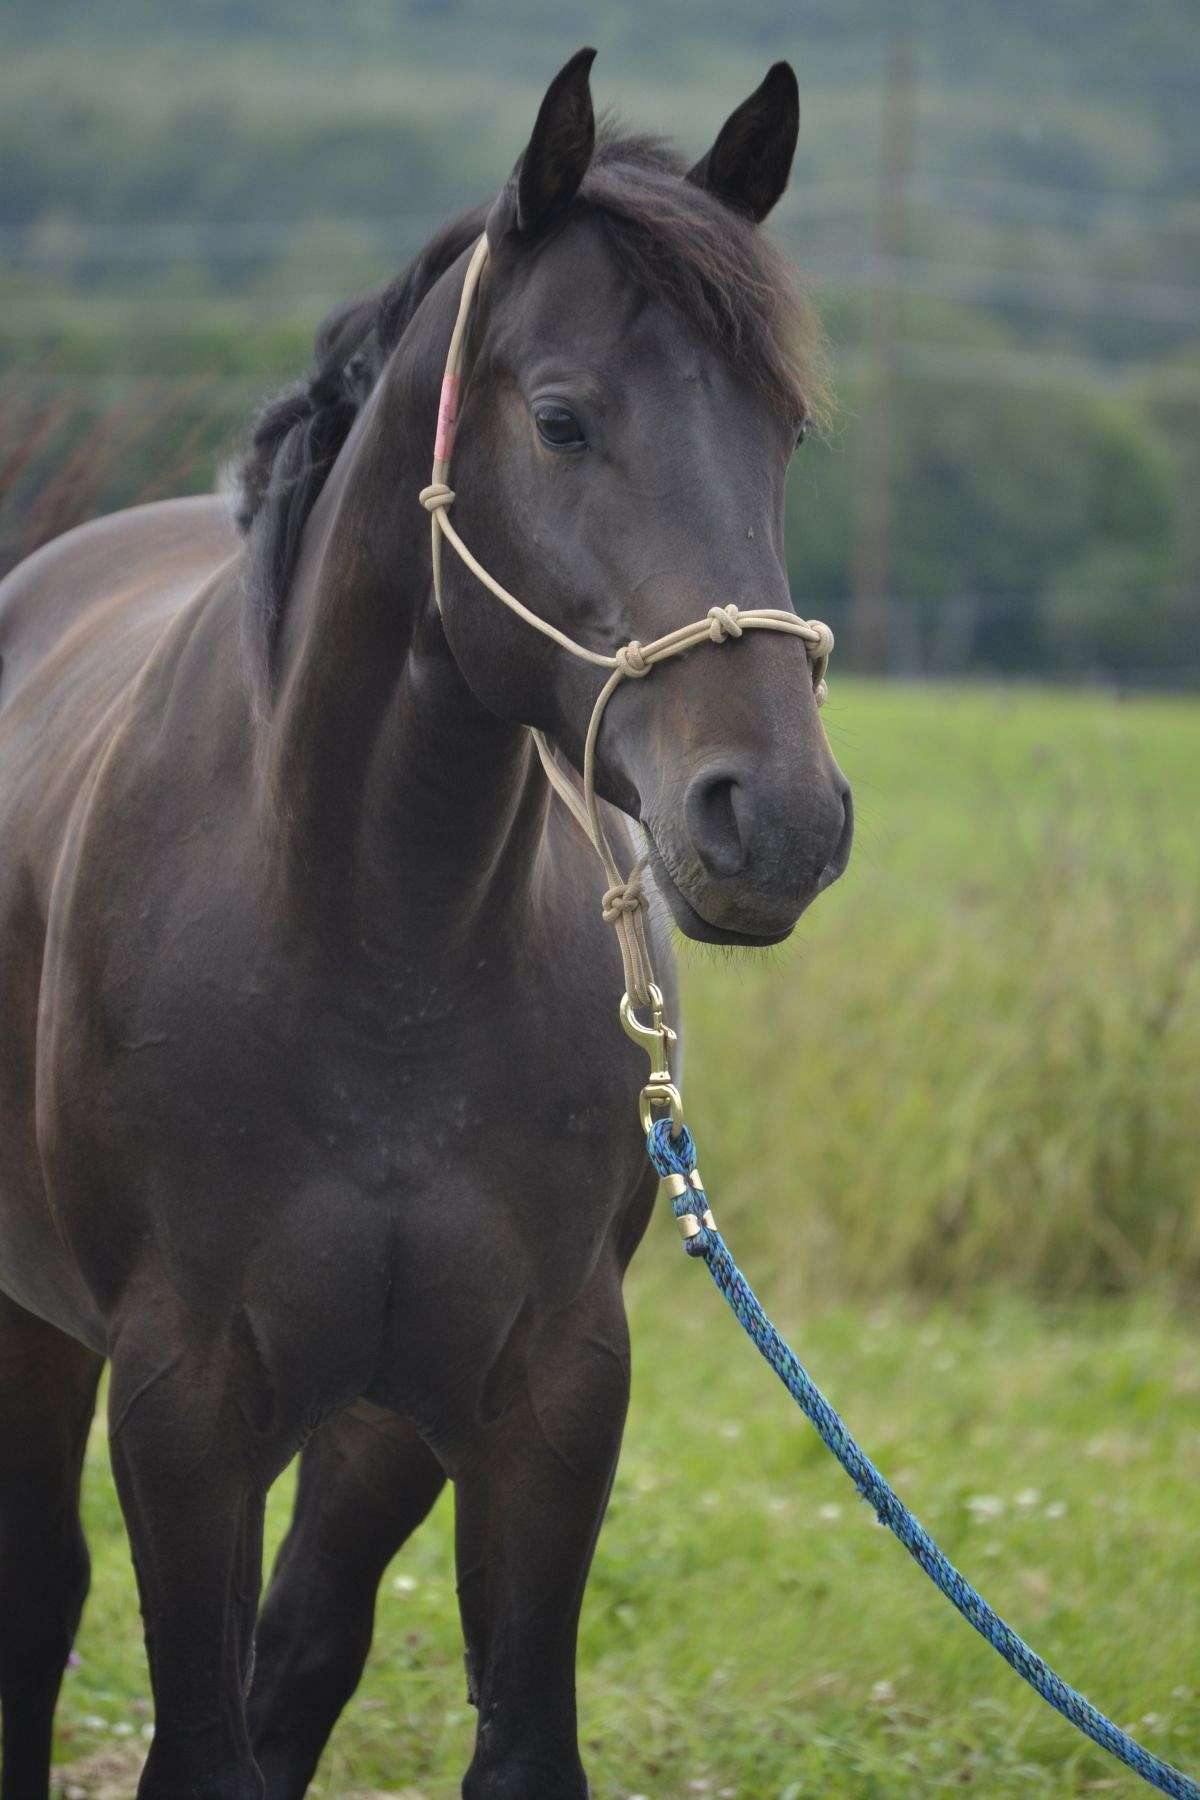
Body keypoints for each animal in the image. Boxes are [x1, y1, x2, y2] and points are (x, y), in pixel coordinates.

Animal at [0, 48, 852, 1799]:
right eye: (562, 419)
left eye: (785, 429)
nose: (779, 820)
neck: (372, 941)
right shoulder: (181, 1405)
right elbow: (194, 1738)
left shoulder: (535, 1398)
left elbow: (477, 1733)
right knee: (38, 1599)